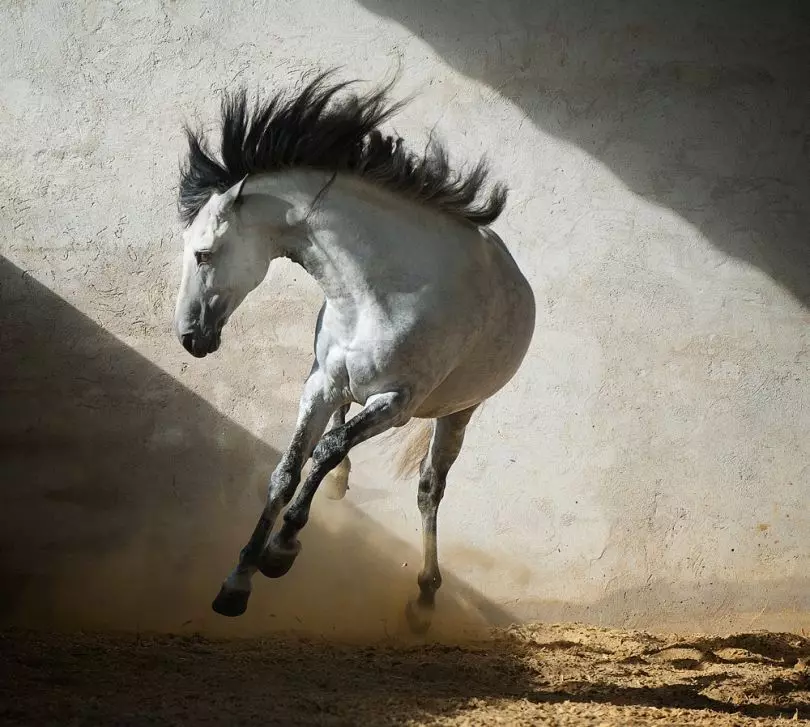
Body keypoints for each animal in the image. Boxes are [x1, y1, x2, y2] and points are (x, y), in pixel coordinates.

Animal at [172, 71, 536, 636]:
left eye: (204, 253)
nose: (190, 337)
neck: (376, 292)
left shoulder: (397, 403)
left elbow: (325, 451)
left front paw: (282, 551)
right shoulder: (319, 384)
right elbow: (288, 470)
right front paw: (236, 584)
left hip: (458, 412)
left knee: (428, 487)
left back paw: (425, 599)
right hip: (343, 381)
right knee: (345, 430)